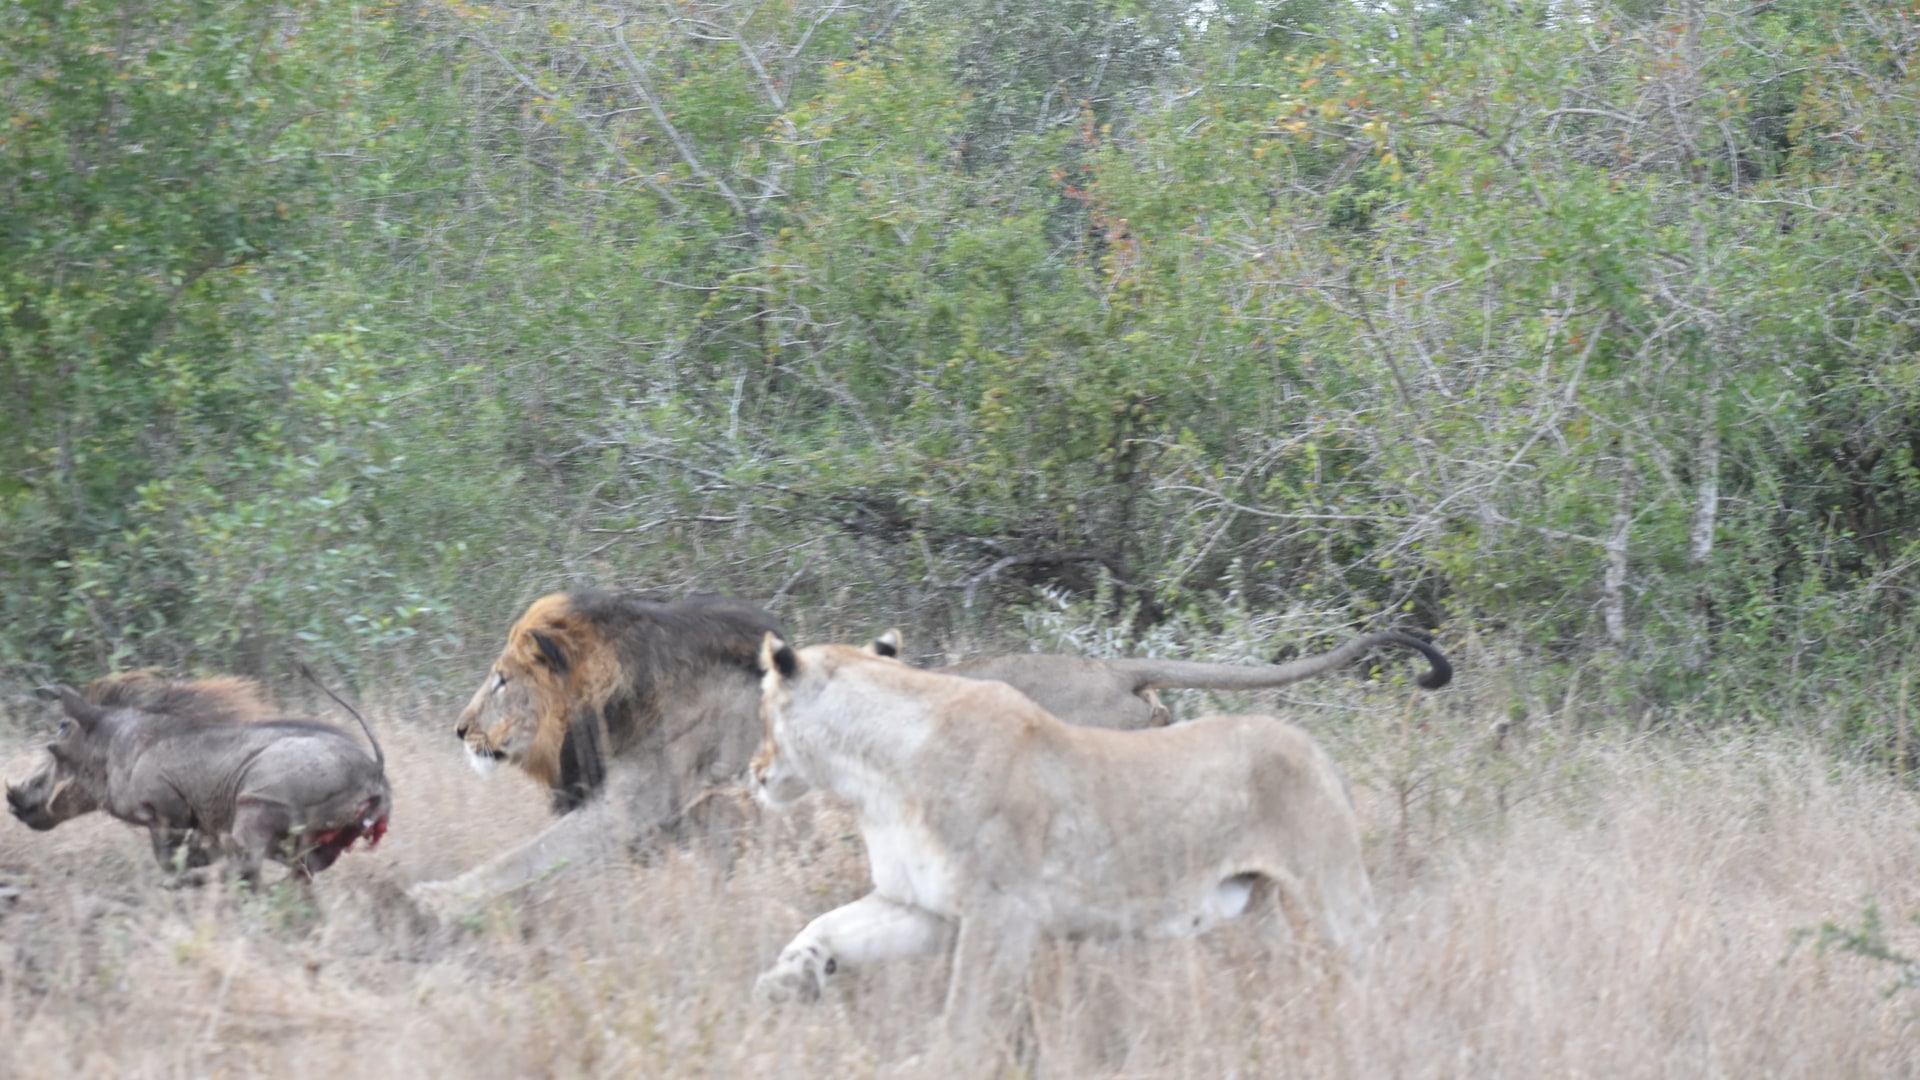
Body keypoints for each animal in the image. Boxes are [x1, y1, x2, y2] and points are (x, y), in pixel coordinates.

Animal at [749, 634, 1381, 1029]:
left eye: (765, 713)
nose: (754, 771)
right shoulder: (925, 901)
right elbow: (826, 929)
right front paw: (791, 980)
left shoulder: (997, 907)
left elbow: (966, 1016)